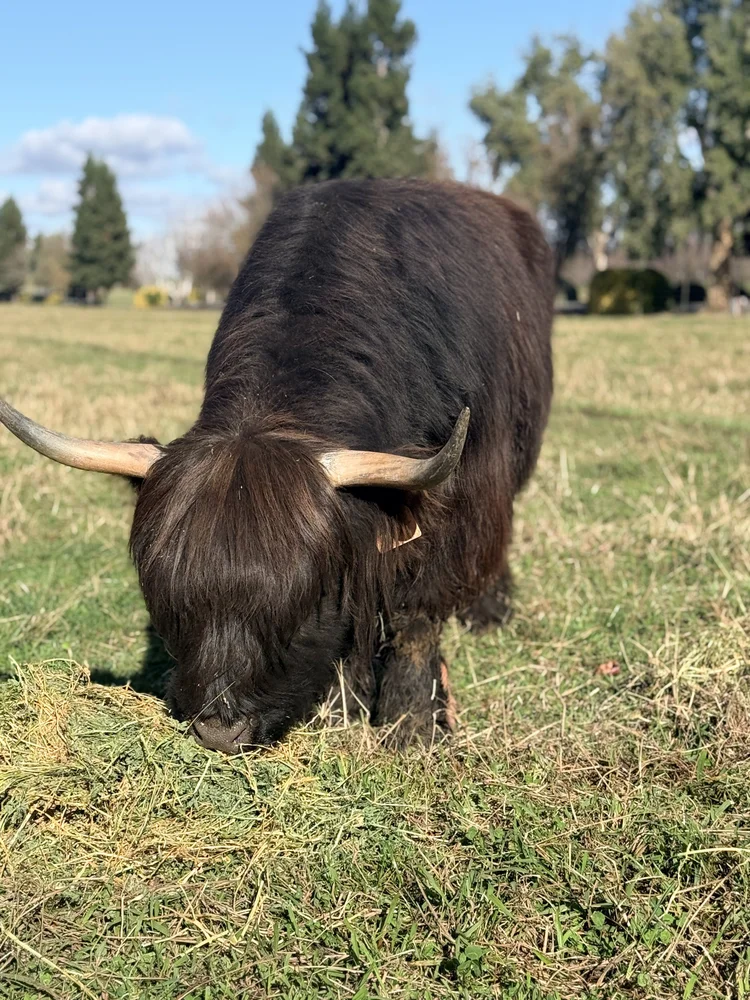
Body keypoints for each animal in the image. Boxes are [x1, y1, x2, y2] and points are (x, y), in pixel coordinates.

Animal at [0, 179, 554, 753]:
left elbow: (415, 617)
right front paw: (340, 710)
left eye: (306, 601)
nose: (222, 731)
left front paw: (409, 723)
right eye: (166, 600)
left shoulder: (462, 500)